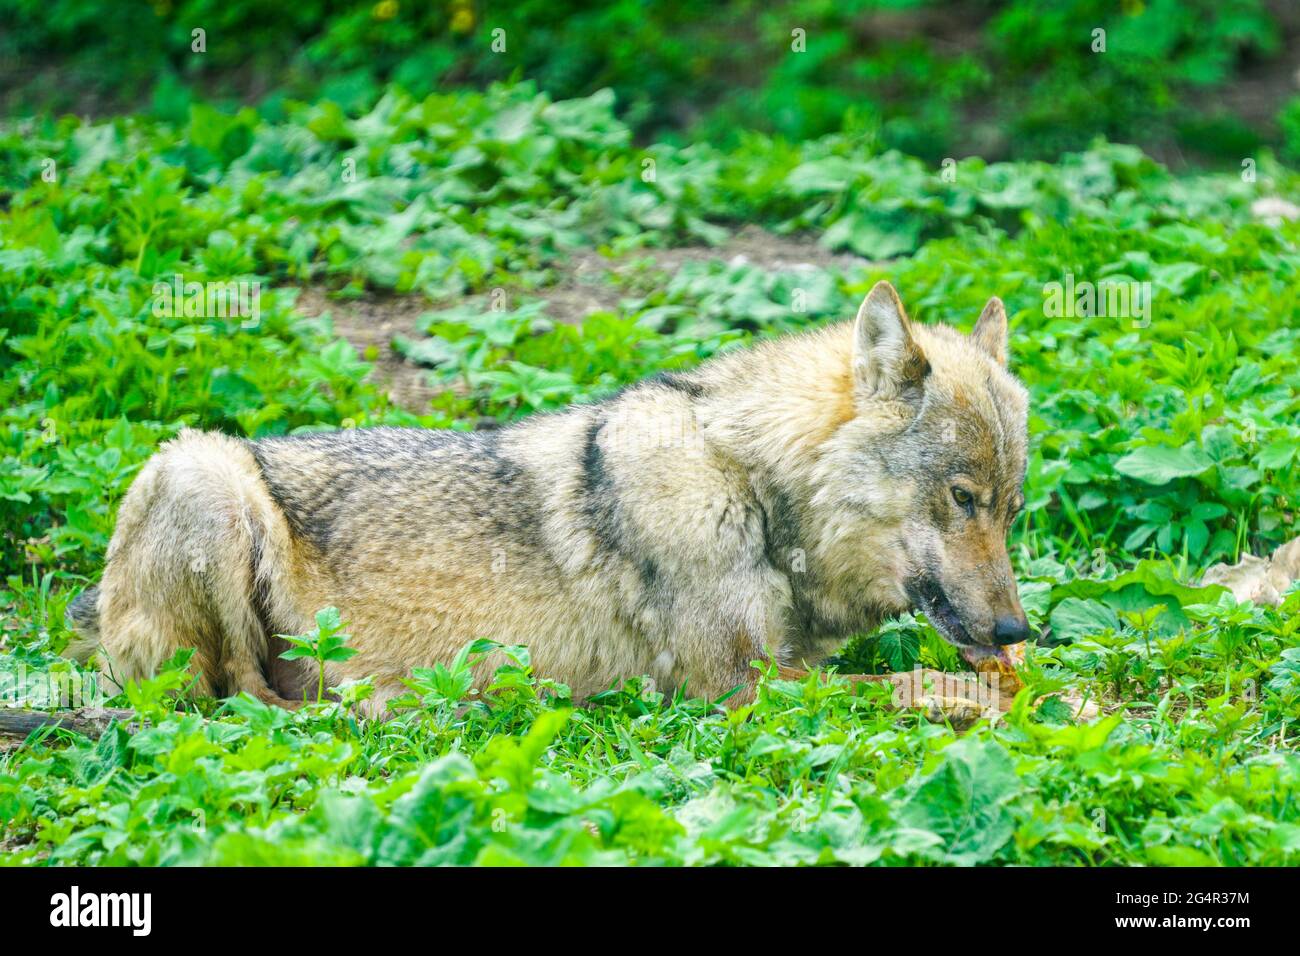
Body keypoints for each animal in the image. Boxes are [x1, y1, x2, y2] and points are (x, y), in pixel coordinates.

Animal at [67, 281, 1031, 717]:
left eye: (1011, 509)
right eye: (961, 498)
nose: (1019, 629)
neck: (747, 484)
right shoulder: (741, 688)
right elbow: (922, 681)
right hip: (204, 474)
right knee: (241, 703)